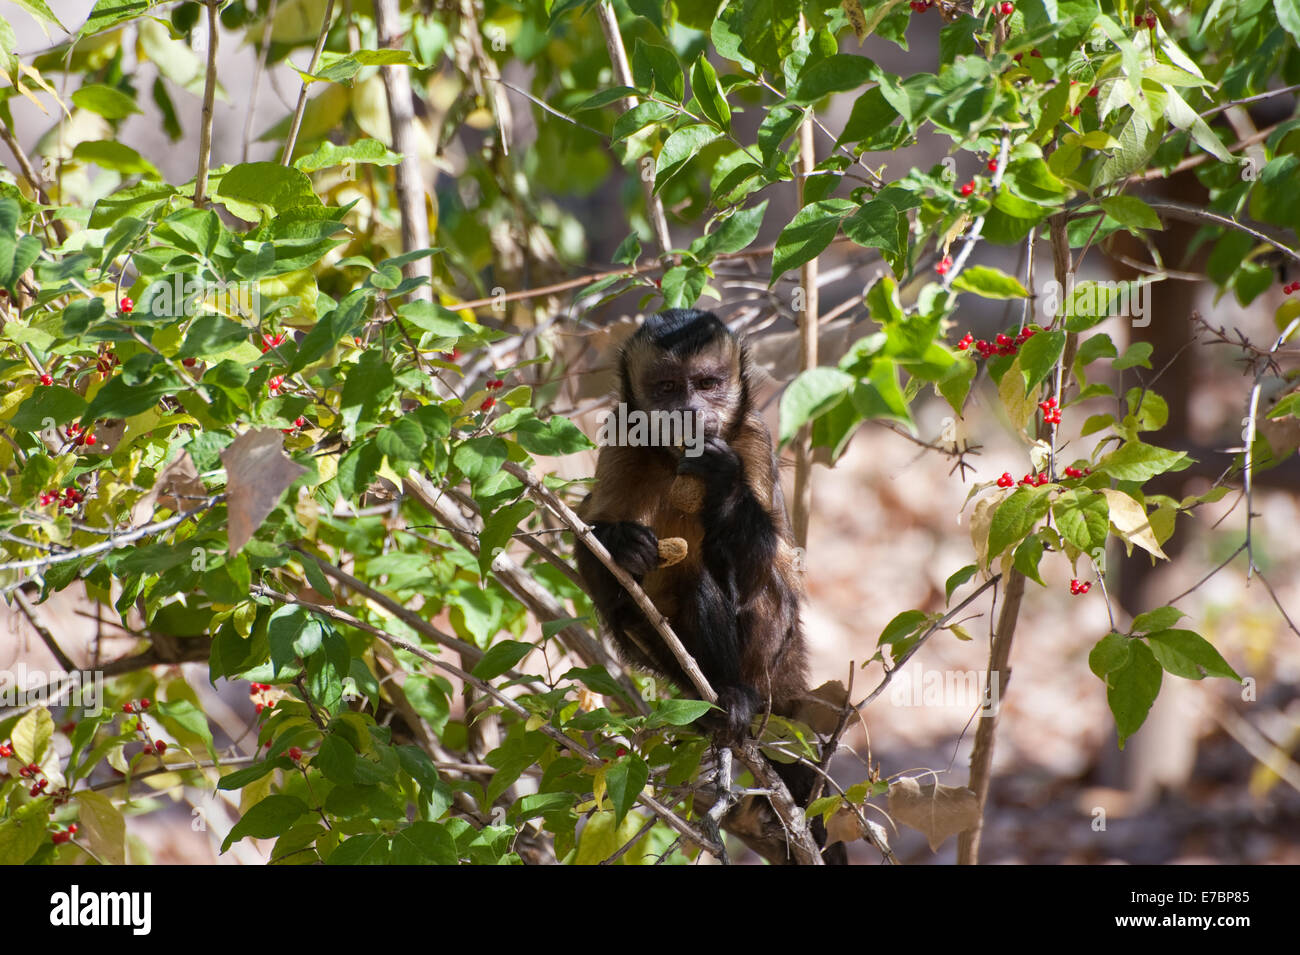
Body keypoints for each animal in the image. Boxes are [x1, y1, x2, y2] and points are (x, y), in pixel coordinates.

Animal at [575, 308, 846, 864]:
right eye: (667, 388)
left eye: (706, 384)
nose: (691, 413)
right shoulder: (620, 440)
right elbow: (587, 539)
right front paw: (622, 546)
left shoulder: (755, 442)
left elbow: (775, 563)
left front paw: (721, 479)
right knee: (630, 614)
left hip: (772, 659)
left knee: (742, 587)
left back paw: (736, 698)